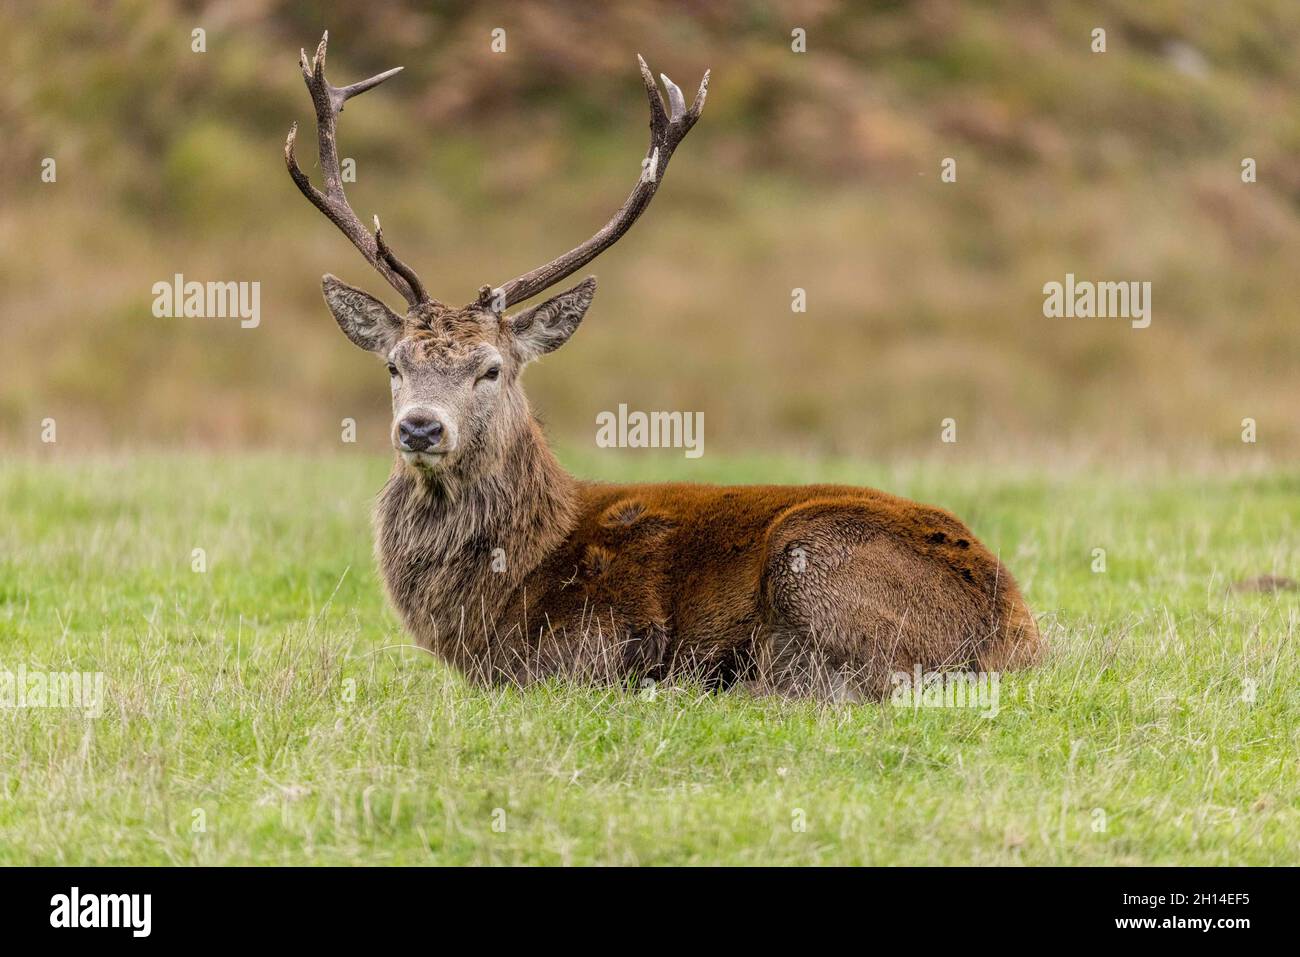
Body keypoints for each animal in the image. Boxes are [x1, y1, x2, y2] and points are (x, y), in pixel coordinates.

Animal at [284, 33, 1041, 701]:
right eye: (394, 364)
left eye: (491, 369)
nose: (420, 428)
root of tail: (1019, 632)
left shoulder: (599, 641)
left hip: (815, 554)